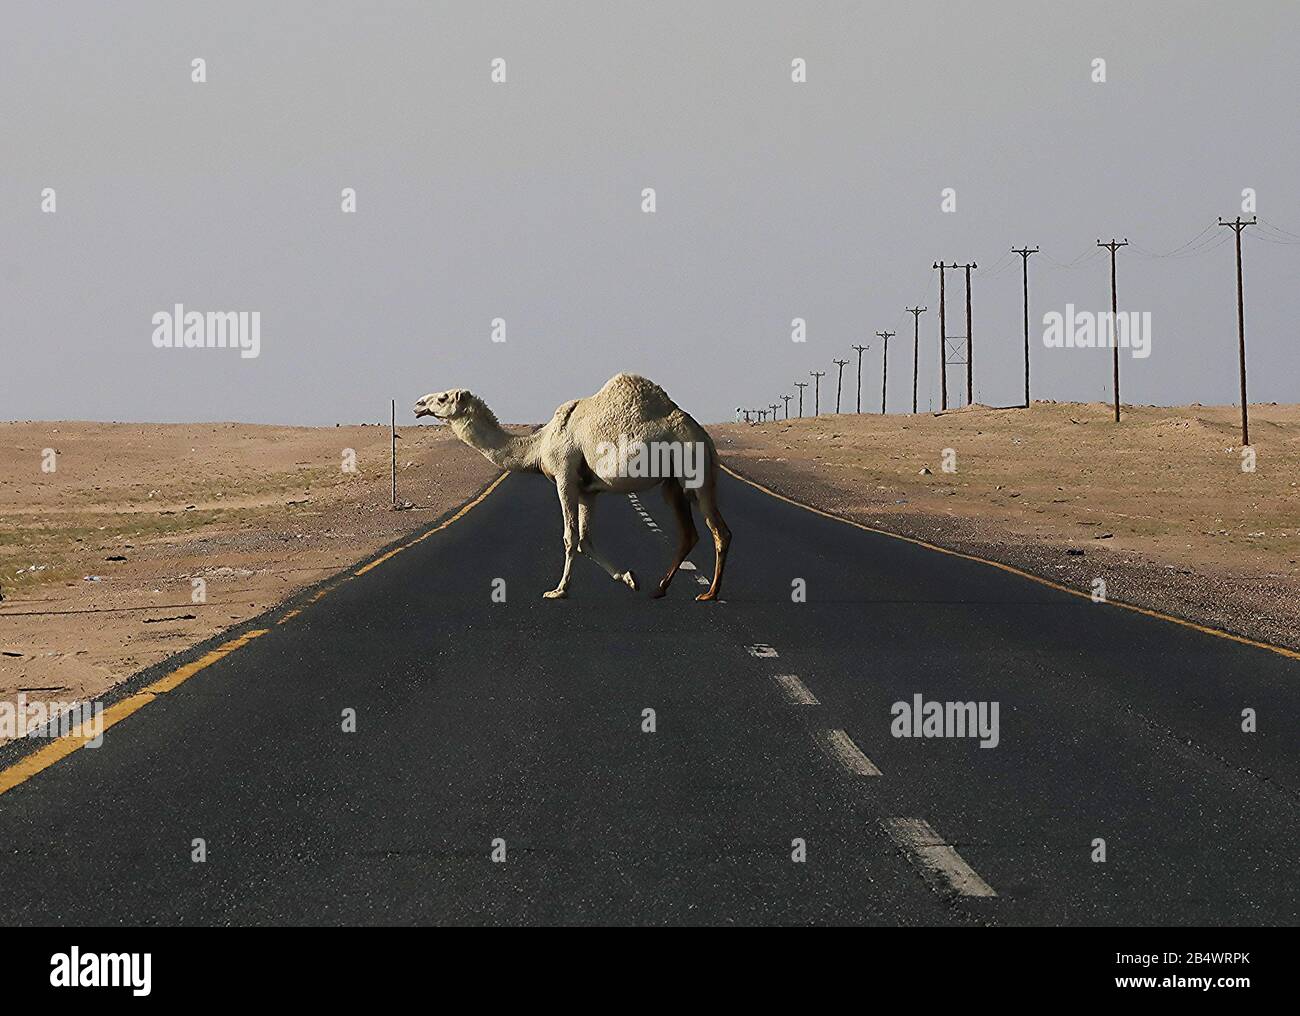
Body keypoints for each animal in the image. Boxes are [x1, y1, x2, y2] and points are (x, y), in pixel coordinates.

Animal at [414, 373, 730, 601]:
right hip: (674, 483)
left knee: (720, 531)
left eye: (442, 397)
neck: (538, 446)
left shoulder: (564, 476)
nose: (418, 404)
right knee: (689, 533)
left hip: (695, 468)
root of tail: (705, 438)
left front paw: (558, 590)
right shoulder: (588, 490)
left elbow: (569, 537)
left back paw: (710, 594)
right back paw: (660, 588)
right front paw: (630, 579)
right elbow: (585, 540)